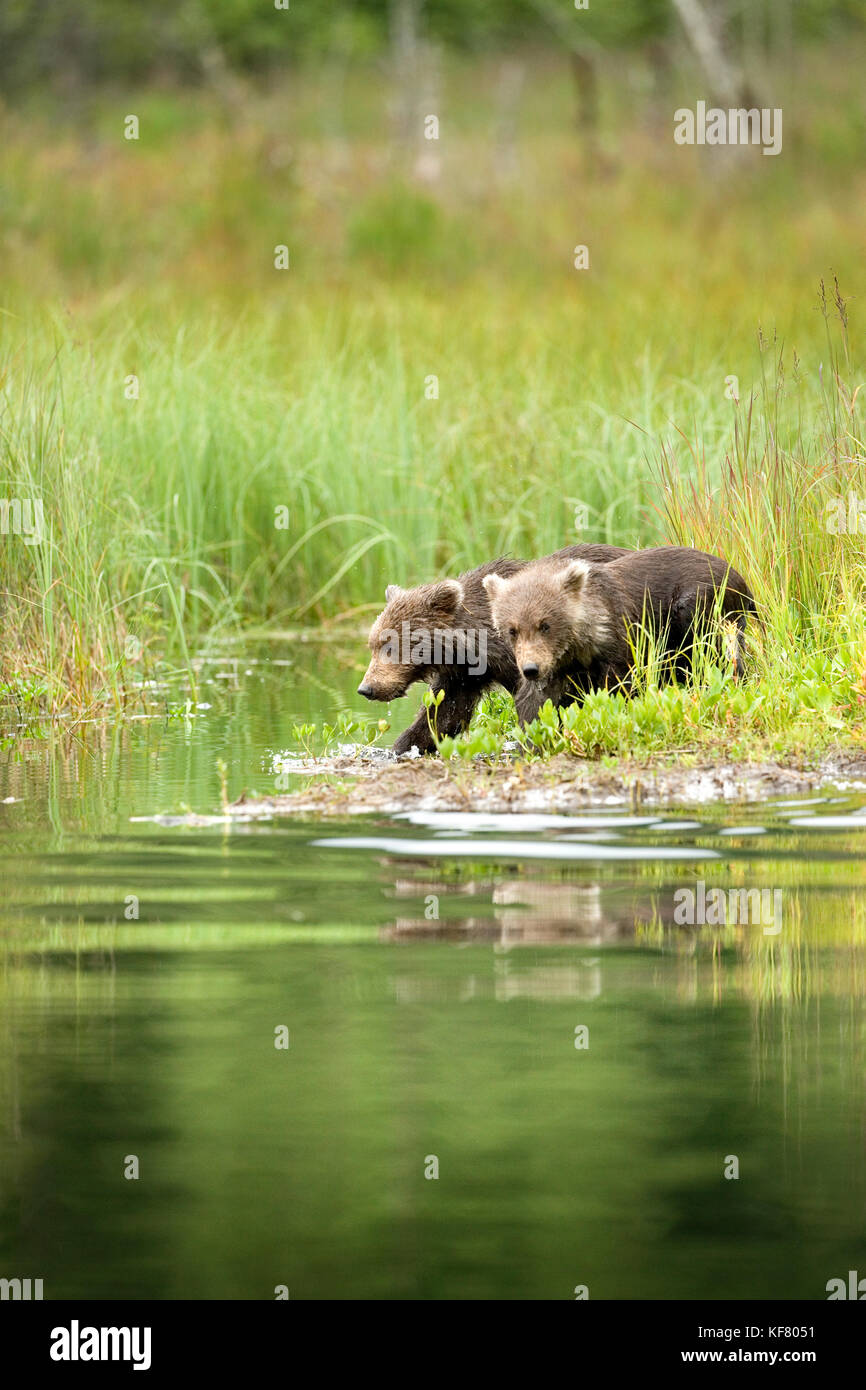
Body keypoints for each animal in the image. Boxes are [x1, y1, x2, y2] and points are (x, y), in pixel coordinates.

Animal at [357, 544, 631, 755]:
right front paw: (403, 745)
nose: (366, 688)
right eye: (372, 645)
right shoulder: (464, 675)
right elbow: (443, 714)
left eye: (390, 646)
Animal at [481, 545, 756, 725]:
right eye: (512, 629)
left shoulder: (620, 643)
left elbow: (619, 687)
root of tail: (739, 575)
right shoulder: (557, 666)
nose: (530, 668)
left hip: (702, 604)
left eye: (545, 624)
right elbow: (537, 701)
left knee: (711, 652)